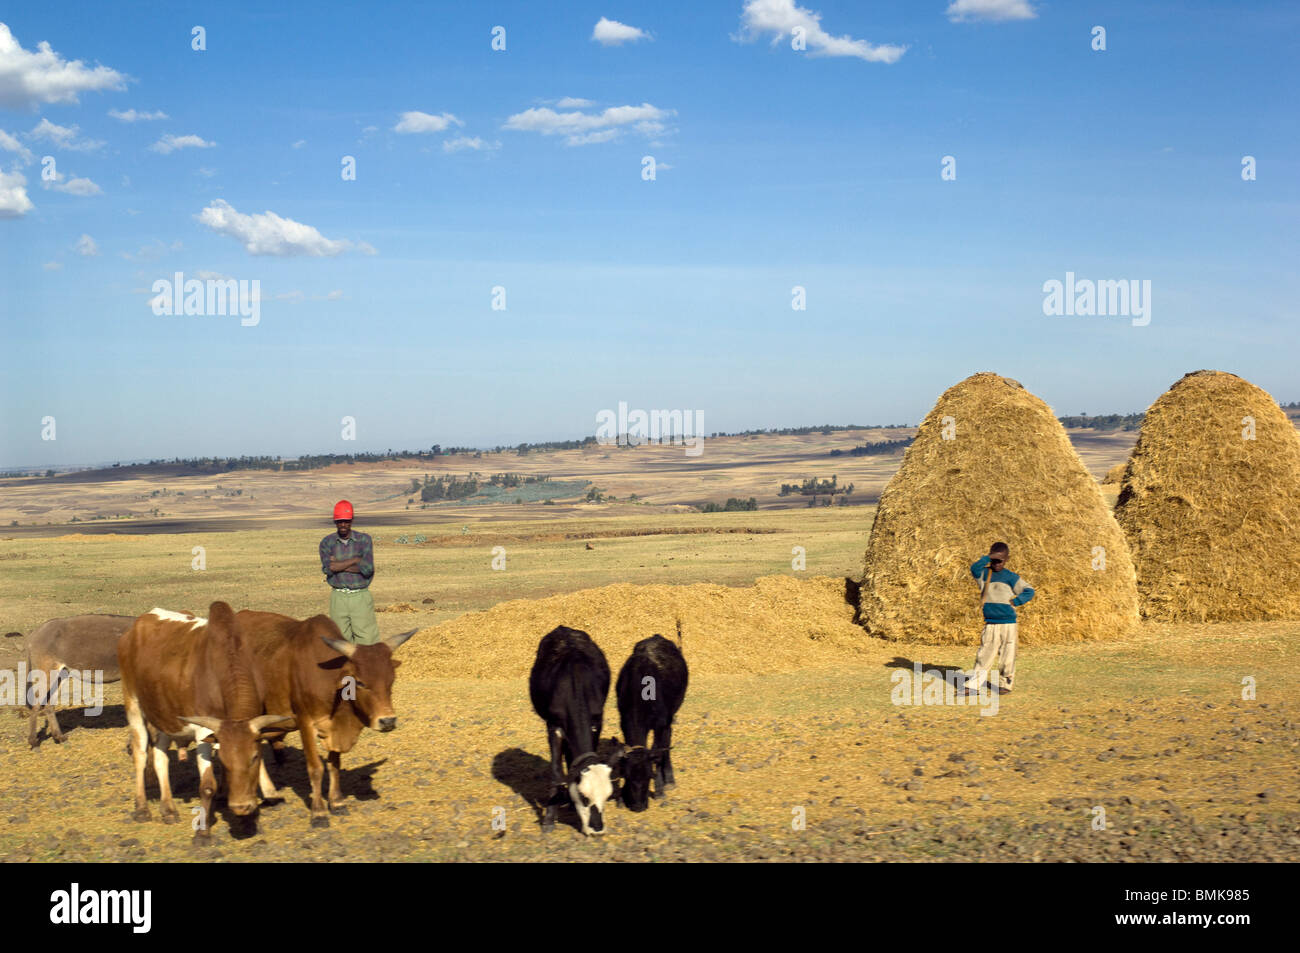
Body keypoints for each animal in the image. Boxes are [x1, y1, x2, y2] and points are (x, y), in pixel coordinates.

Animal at [23, 614, 135, 748]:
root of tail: (35, 632)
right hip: (48, 670)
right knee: (37, 702)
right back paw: (33, 741)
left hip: (61, 674)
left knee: (49, 705)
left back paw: (58, 737)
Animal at [117, 603, 293, 843]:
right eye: (224, 761)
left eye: (254, 758)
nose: (241, 807)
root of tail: (137, 625)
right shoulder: (202, 732)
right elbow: (208, 786)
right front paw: (202, 831)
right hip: (133, 703)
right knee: (140, 753)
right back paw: (142, 808)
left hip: (164, 713)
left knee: (161, 758)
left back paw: (168, 809)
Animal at [239, 609, 417, 828]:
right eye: (360, 682)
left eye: (391, 680)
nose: (388, 721)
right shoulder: (305, 722)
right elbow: (315, 768)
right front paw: (319, 812)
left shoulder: (336, 729)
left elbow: (334, 765)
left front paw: (337, 802)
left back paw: (271, 794)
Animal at [529, 625, 619, 835]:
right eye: (584, 796)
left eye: (607, 795)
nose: (597, 829)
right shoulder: (553, 725)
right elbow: (556, 772)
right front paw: (549, 819)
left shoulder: (596, 721)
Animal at [613, 633, 688, 812]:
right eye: (627, 776)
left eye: (649, 776)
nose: (638, 806)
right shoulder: (624, 721)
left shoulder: (660, 724)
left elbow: (659, 753)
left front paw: (660, 790)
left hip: (669, 717)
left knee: (666, 743)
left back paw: (669, 780)